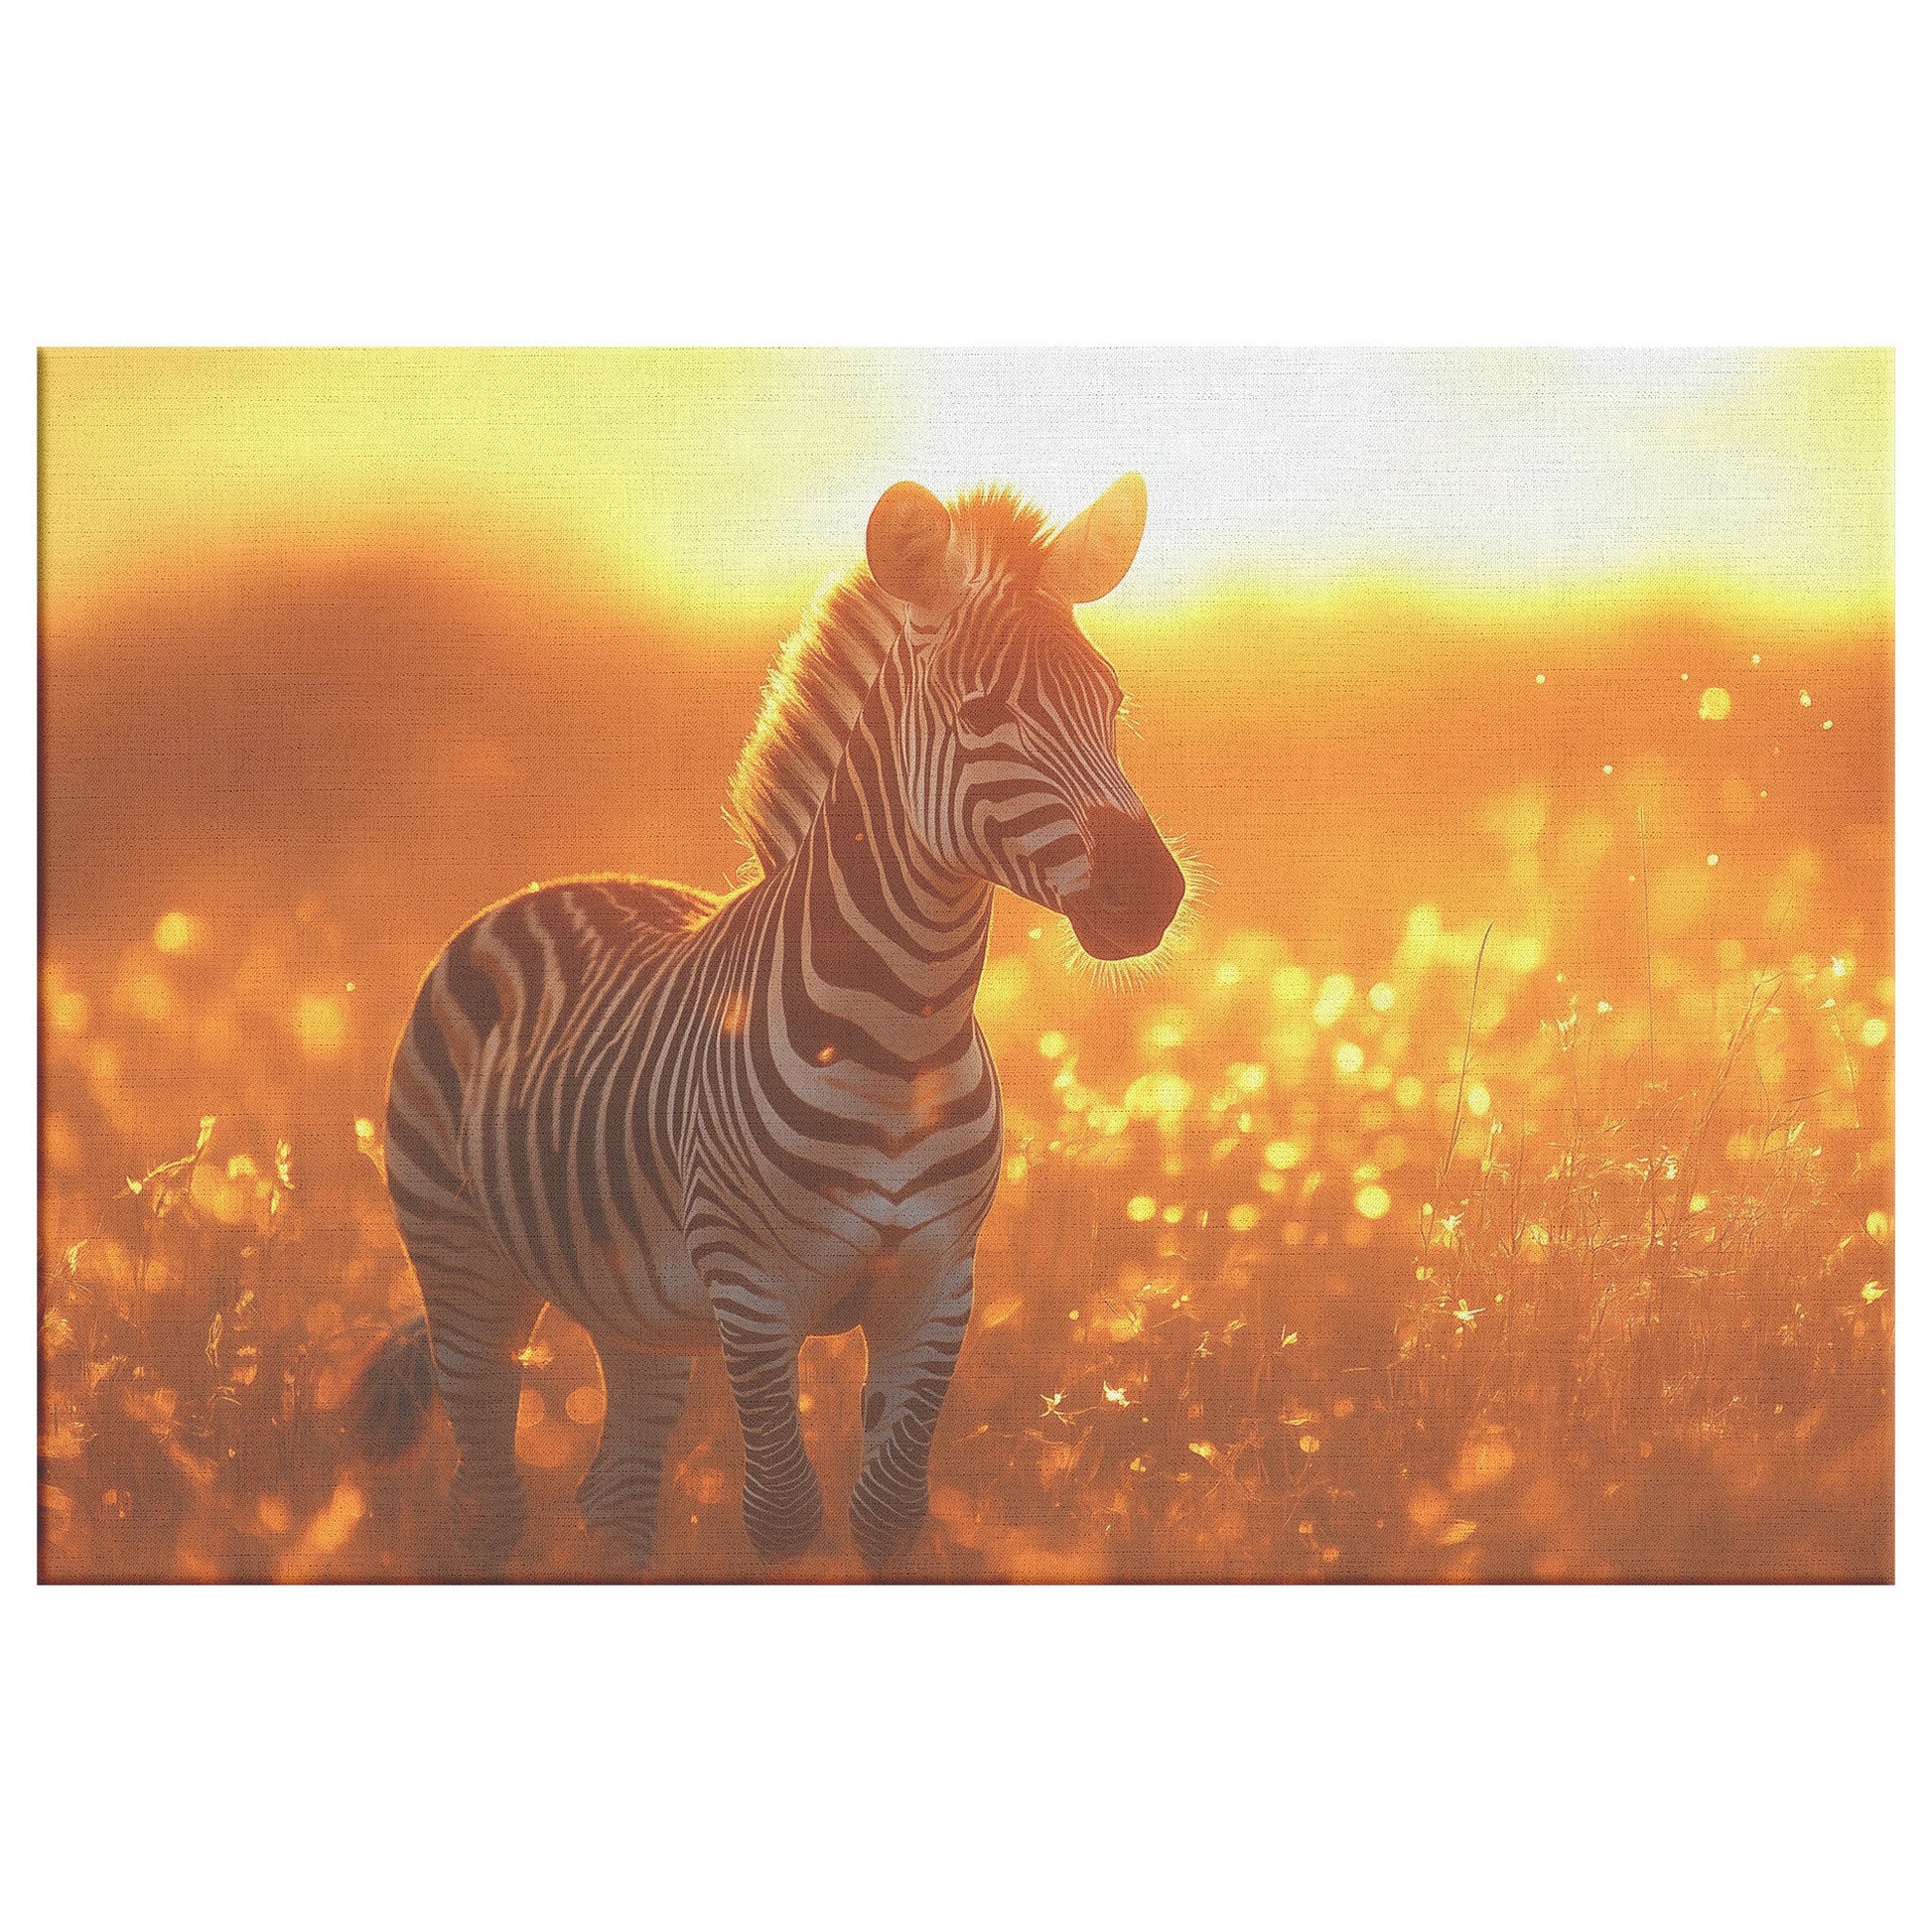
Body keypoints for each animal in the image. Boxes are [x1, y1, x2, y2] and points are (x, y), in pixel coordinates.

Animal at [351, 473, 1188, 1573]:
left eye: (1114, 701)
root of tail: (546, 889)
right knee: (486, 1497)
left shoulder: (935, 1288)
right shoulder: (753, 1297)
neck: (903, 1039)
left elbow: (888, 1512)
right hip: (462, 1265)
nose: (1151, 893)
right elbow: (783, 1515)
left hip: (637, 1311)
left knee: (616, 1493)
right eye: (981, 712)